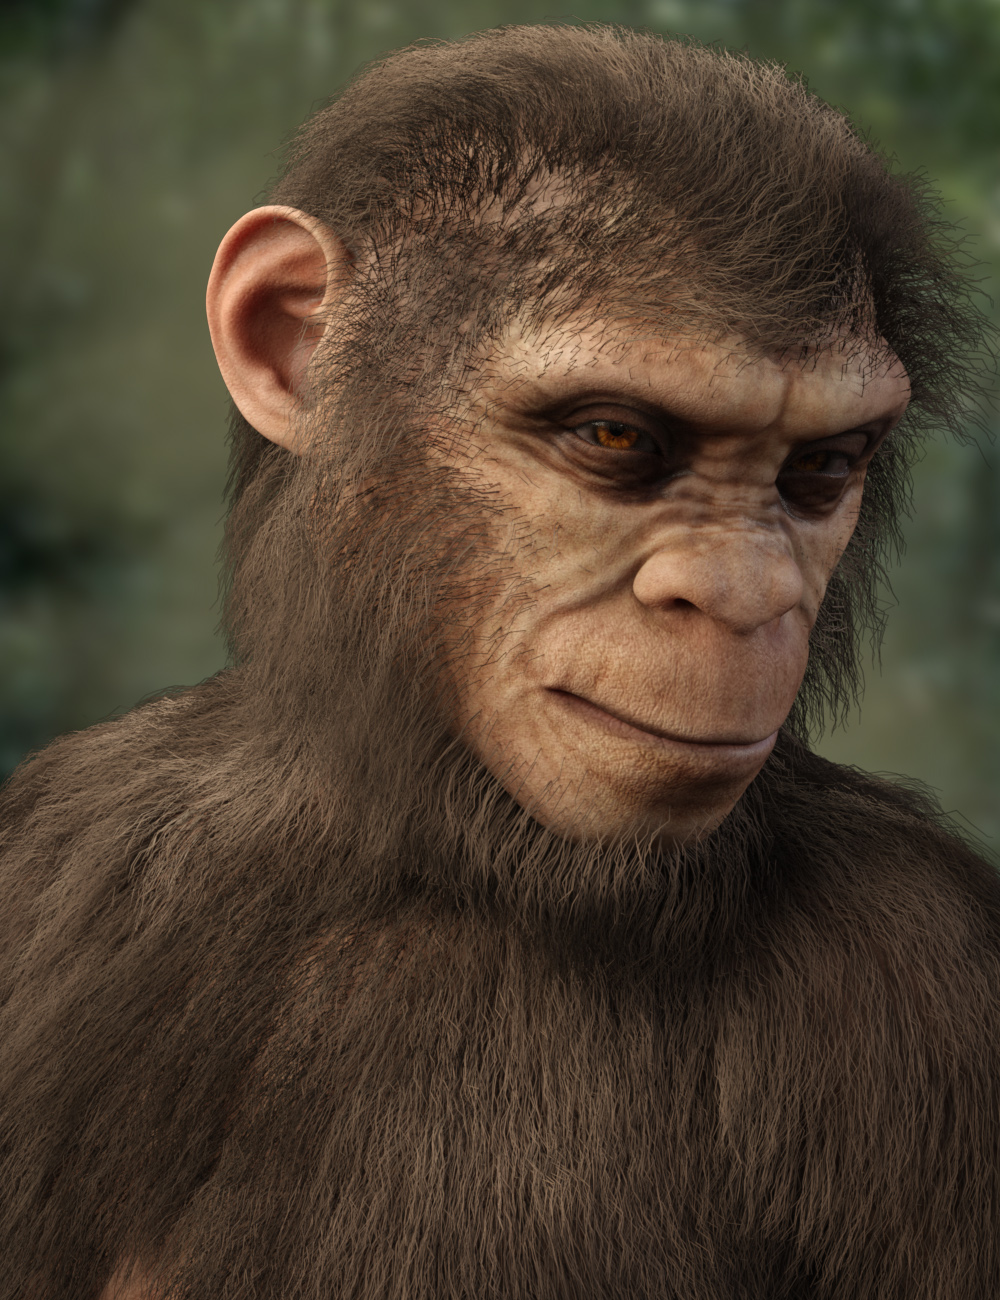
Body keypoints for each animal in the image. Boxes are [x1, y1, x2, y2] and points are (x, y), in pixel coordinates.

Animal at [2, 22, 998, 1300]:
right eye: (617, 435)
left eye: (818, 468)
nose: (744, 597)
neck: (447, 851)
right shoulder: (74, 833)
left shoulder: (933, 965)